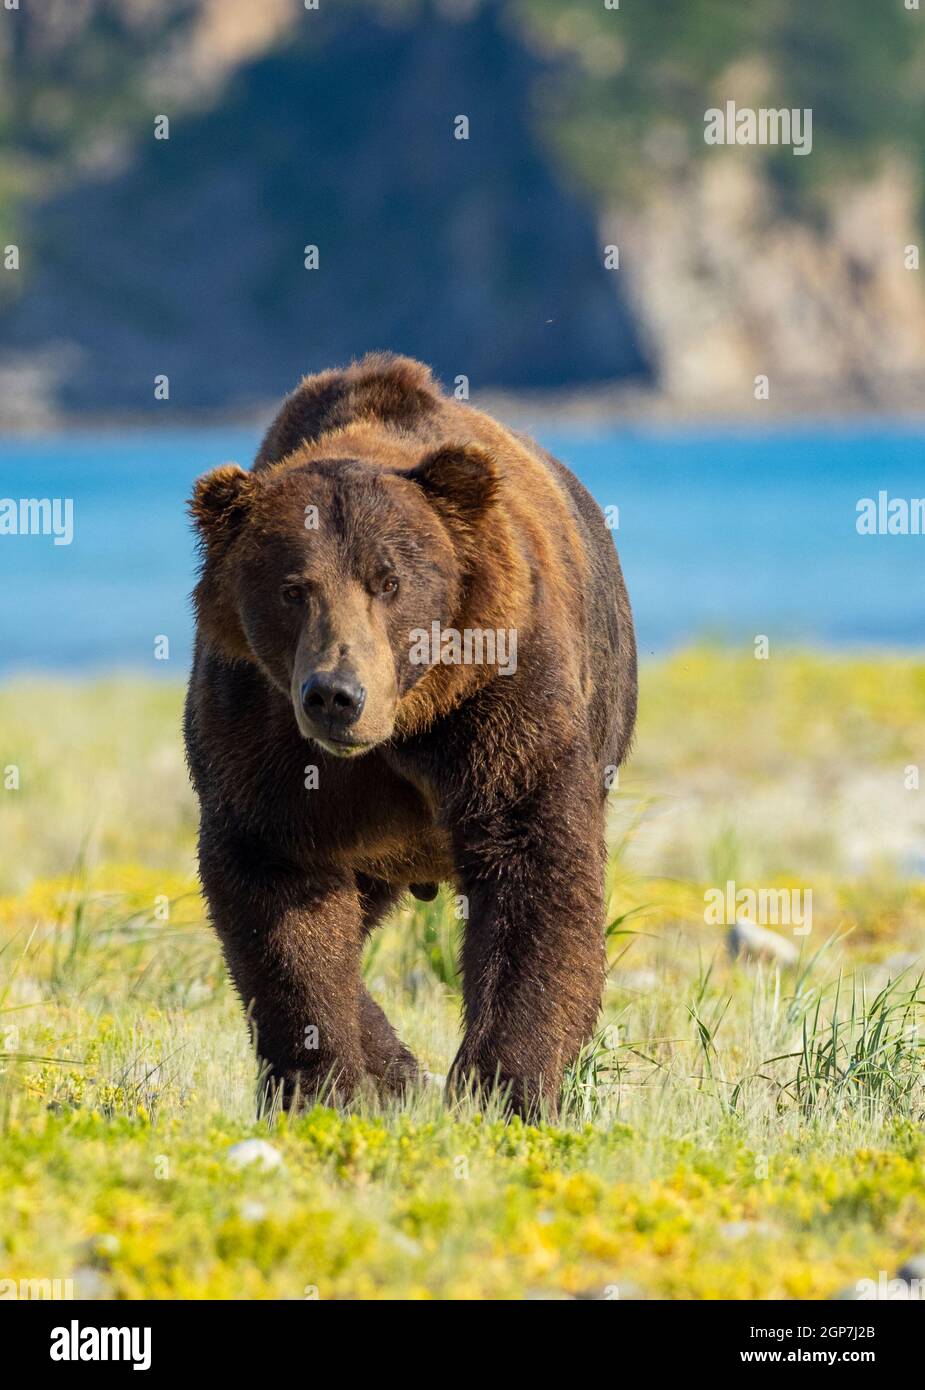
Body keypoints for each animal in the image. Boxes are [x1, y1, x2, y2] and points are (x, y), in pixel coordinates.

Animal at [184, 353, 636, 1119]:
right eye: (292, 588)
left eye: (388, 581)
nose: (336, 695)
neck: (402, 723)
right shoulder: (258, 727)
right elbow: (278, 892)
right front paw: (320, 1084)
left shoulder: (496, 695)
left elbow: (534, 862)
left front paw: (503, 1086)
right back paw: (393, 1068)